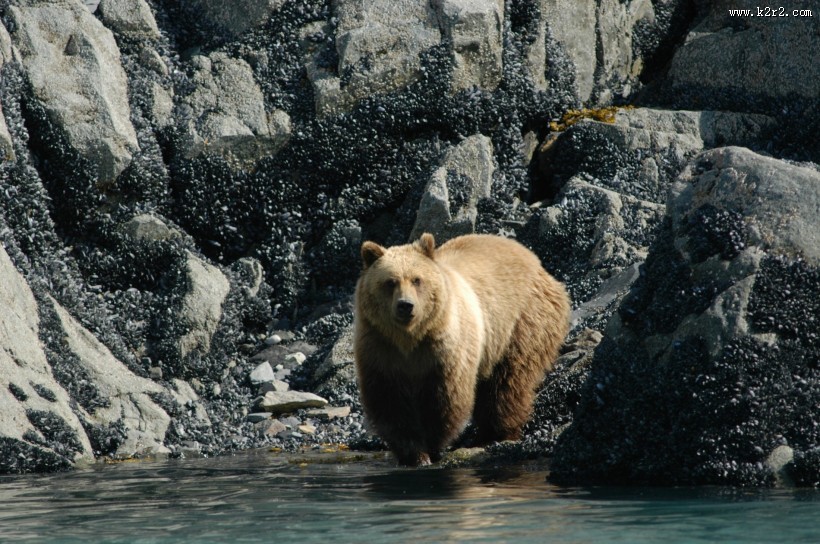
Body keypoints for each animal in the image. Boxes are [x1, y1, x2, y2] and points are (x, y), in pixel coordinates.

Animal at [353, 232, 571, 466]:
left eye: (417, 279)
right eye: (390, 282)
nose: (406, 305)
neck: (409, 339)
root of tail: (533, 259)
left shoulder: (445, 350)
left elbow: (445, 399)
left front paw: (431, 447)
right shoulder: (381, 349)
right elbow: (389, 402)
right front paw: (413, 453)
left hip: (521, 323)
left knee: (507, 383)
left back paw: (497, 434)